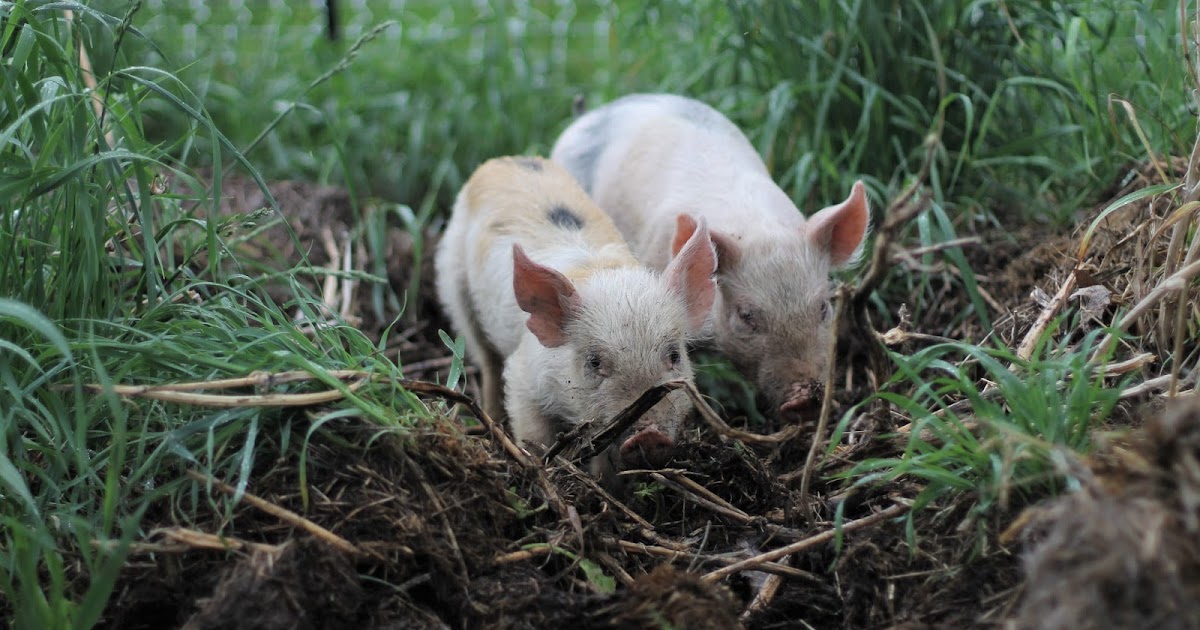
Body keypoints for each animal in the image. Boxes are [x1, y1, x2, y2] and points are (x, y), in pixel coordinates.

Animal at [433, 156, 717, 484]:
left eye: (674, 356)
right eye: (594, 362)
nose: (649, 436)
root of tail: (502, 160)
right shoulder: (523, 376)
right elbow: (534, 433)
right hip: (453, 283)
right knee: (486, 358)